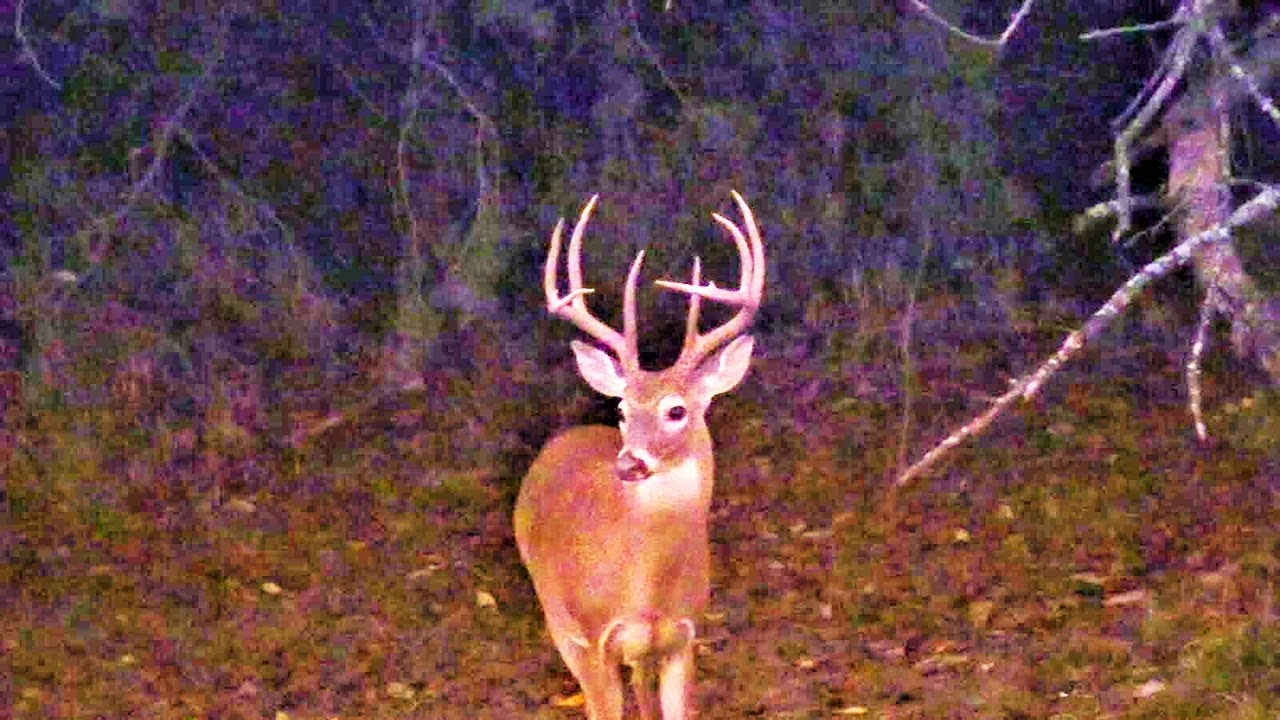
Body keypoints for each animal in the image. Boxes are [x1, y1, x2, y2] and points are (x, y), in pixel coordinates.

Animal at [514, 191, 765, 719]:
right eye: (622, 409)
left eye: (676, 410)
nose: (629, 463)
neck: (647, 590)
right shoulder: (594, 639)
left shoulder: (684, 637)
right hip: (557, 617)